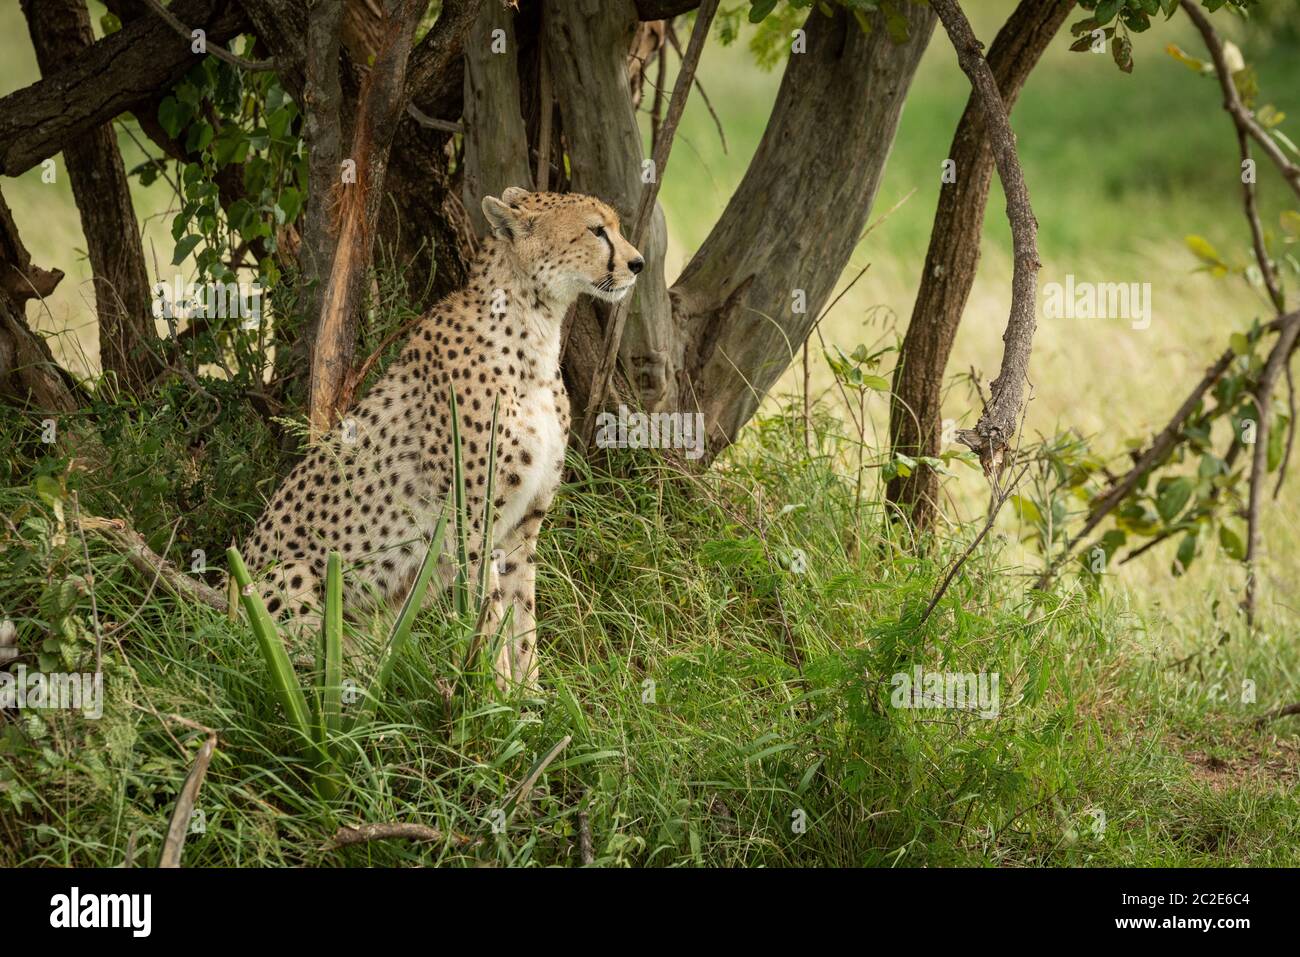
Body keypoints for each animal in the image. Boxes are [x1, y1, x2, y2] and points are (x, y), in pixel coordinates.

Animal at [238, 187, 643, 689]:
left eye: (615, 228)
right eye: (596, 230)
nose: (638, 263)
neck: (535, 330)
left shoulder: (522, 528)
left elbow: (522, 618)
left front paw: (529, 696)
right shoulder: (470, 523)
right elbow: (489, 615)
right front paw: (494, 691)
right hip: (291, 579)